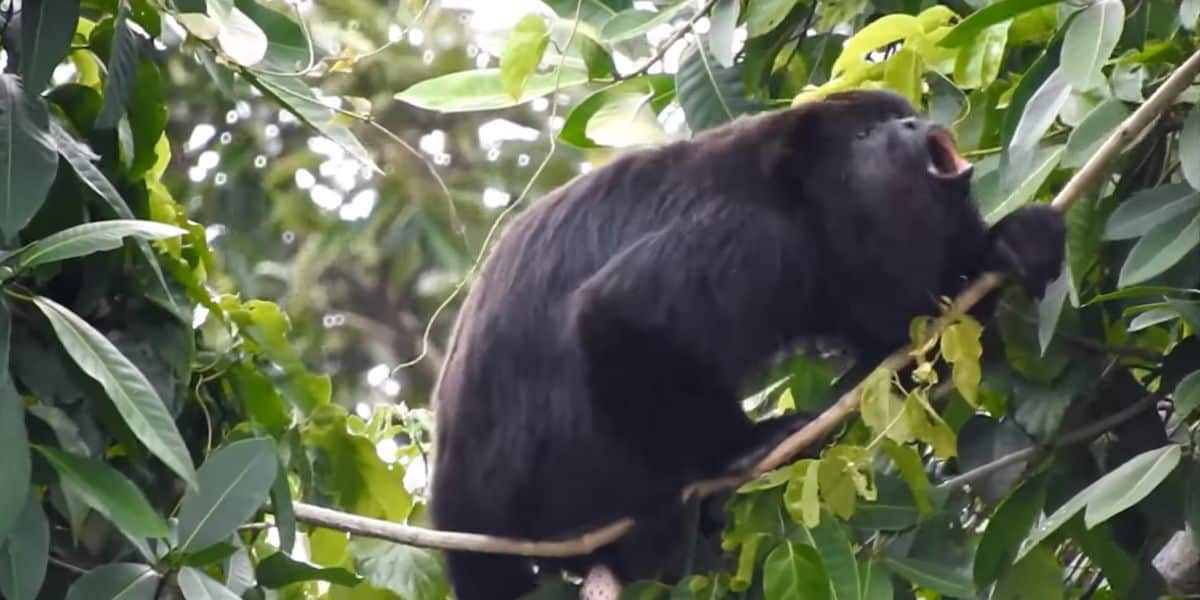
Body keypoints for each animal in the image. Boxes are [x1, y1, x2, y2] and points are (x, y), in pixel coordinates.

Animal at [429, 89, 1066, 600]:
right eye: (864, 135)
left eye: (899, 116)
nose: (913, 124)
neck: (802, 204)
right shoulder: (752, 238)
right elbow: (613, 312)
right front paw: (742, 446)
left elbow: (899, 346)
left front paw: (1012, 242)